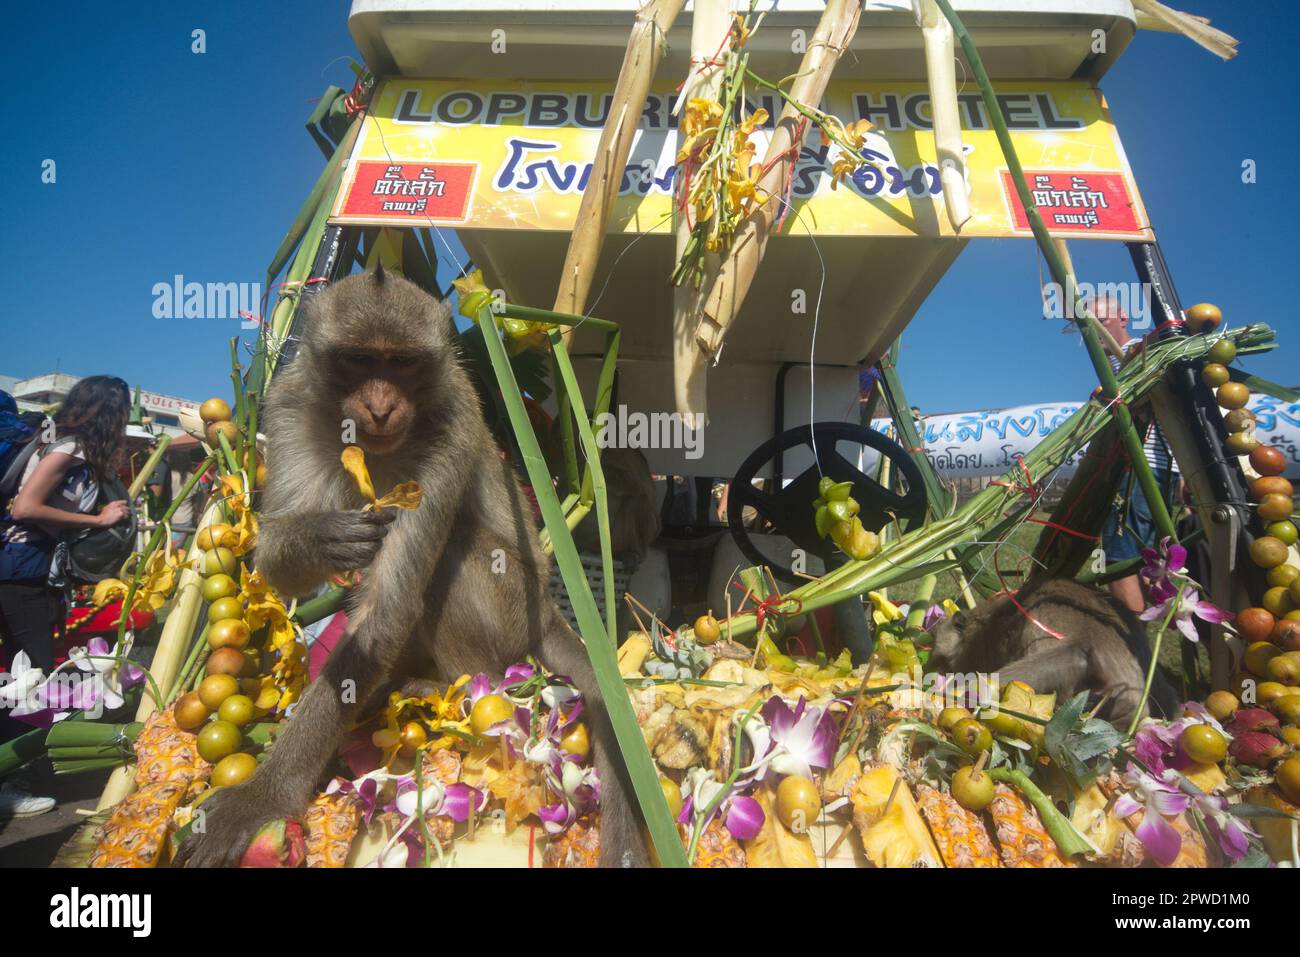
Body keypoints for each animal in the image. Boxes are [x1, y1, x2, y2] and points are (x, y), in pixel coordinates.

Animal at [175, 267, 647, 868]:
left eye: (402, 363)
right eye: (359, 359)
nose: (380, 407)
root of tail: (547, 605)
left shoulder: (451, 430)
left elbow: (386, 612)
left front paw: (261, 798)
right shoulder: (287, 407)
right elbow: (275, 561)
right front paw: (320, 538)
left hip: (515, 607)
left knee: (457, 553)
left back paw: (455, 685)